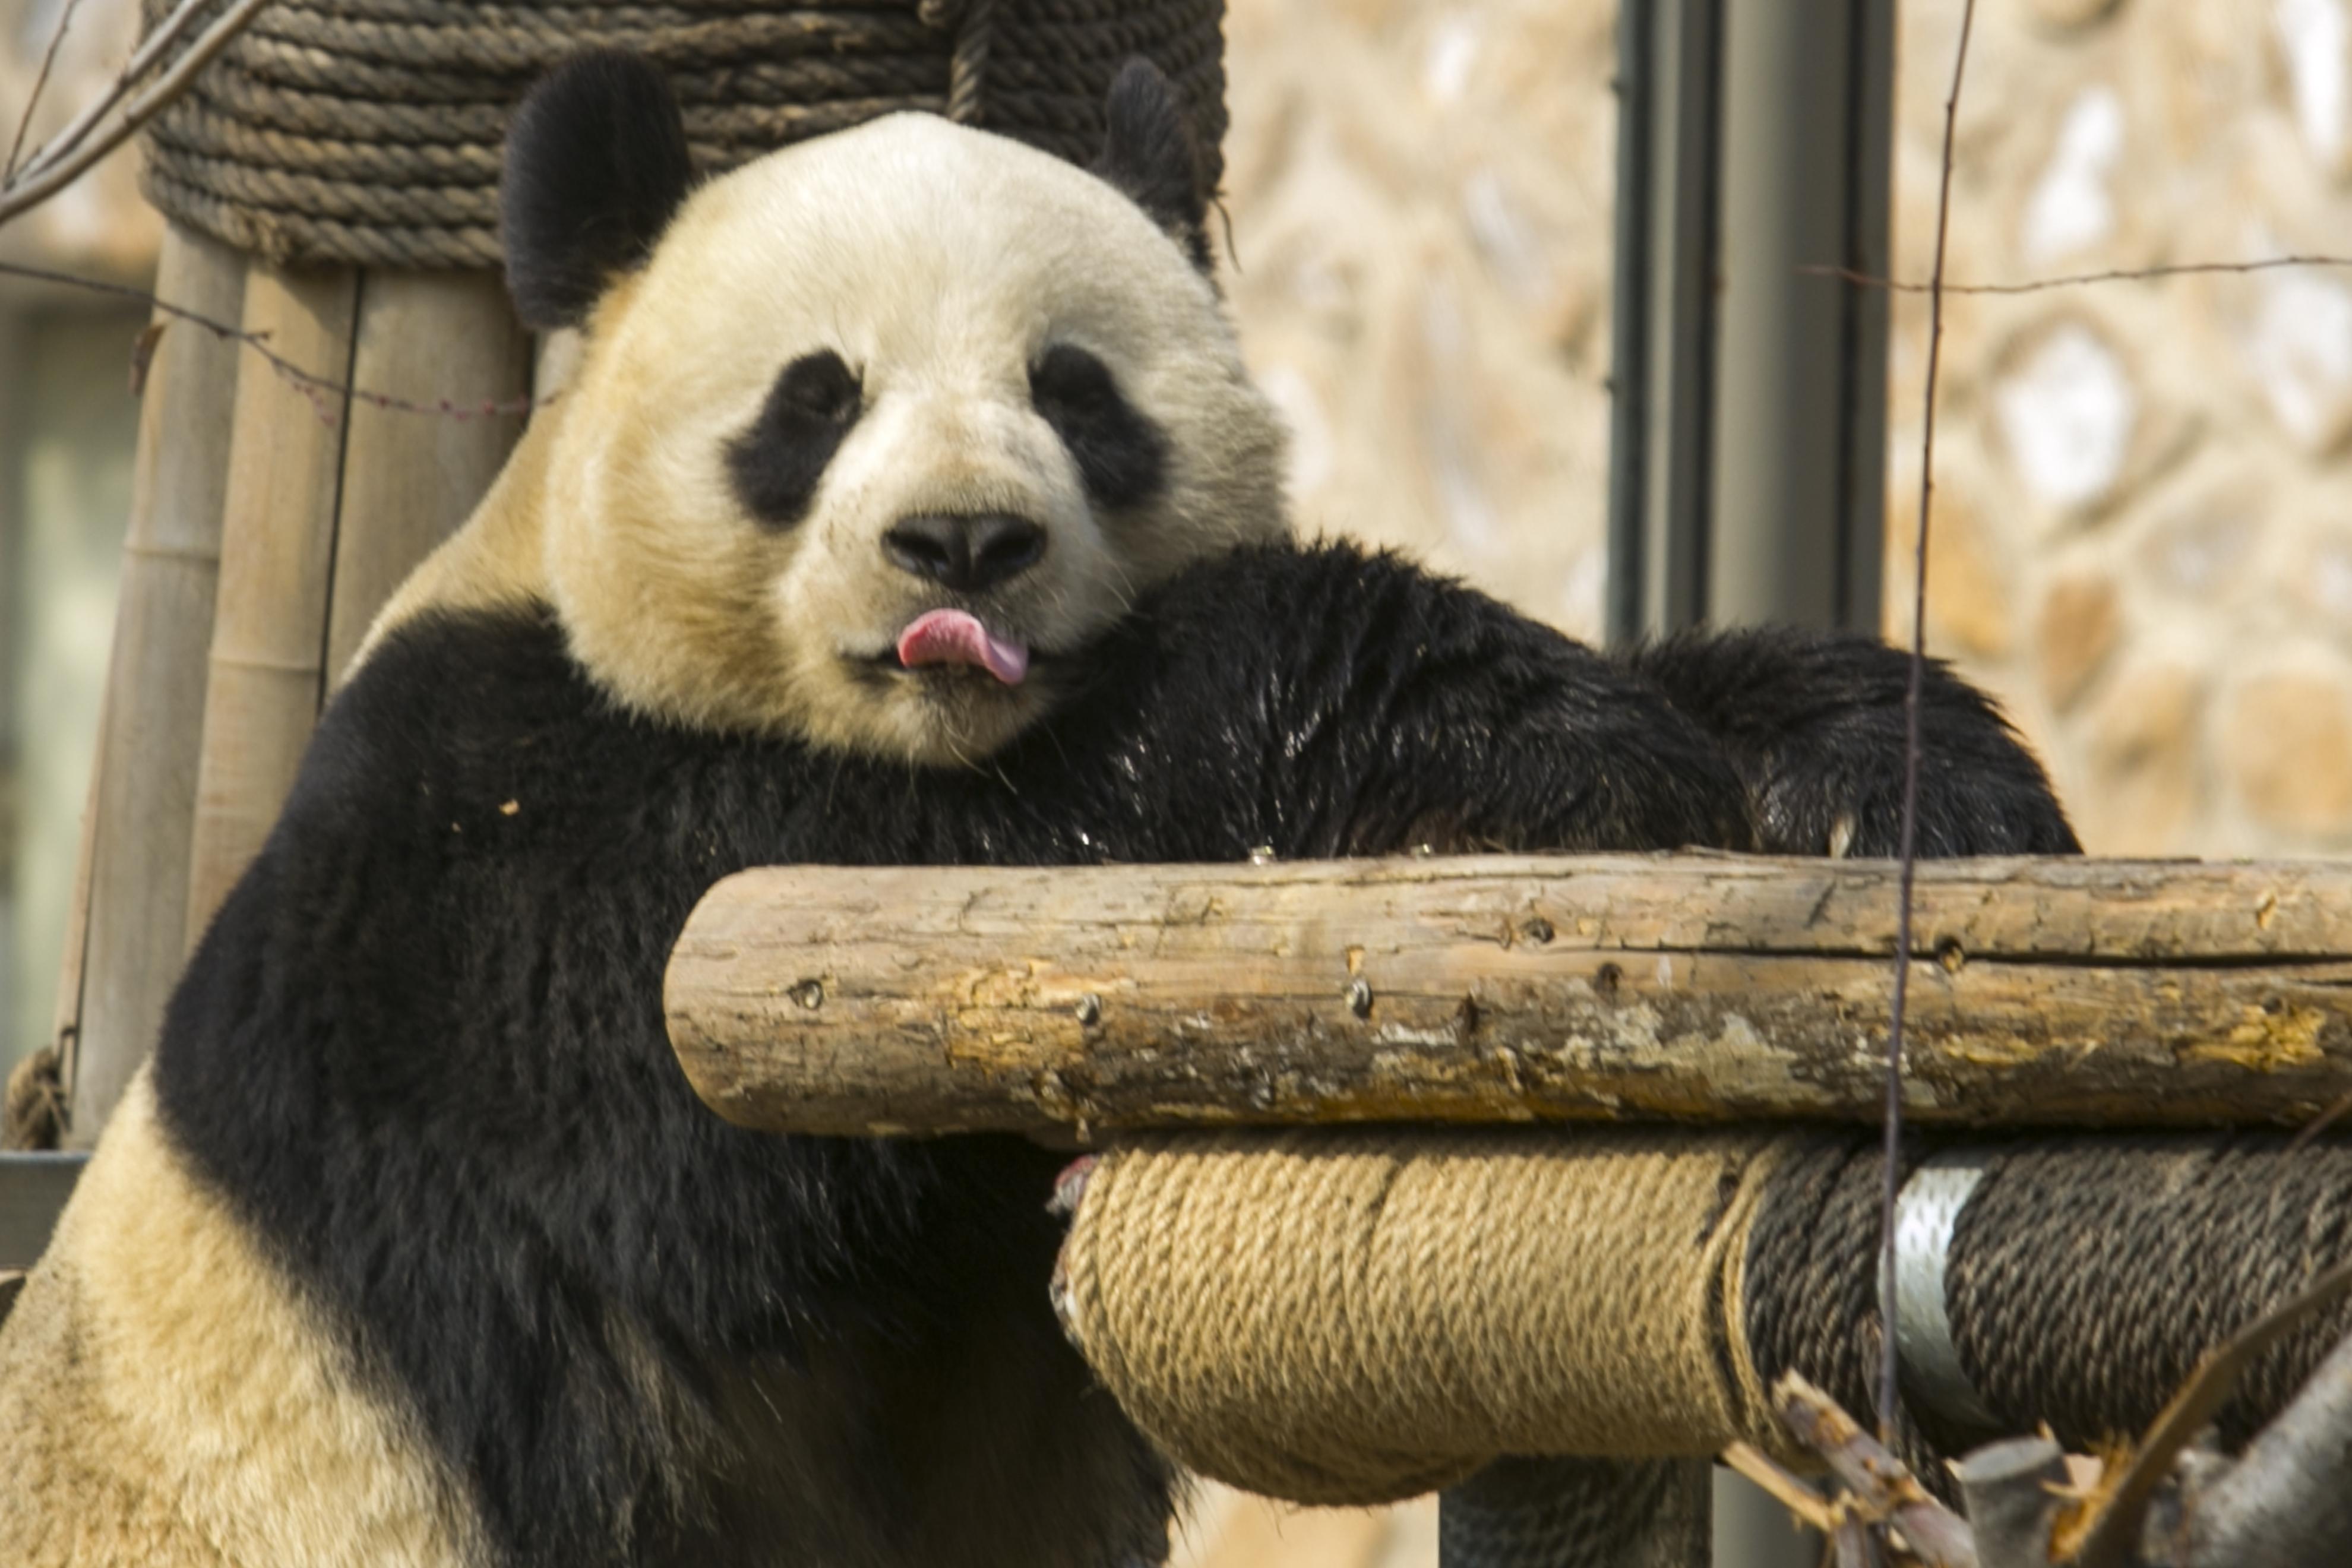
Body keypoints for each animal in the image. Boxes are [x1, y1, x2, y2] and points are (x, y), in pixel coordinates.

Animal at [0, 49, 2076, 1568]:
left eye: (1075, 390)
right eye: (813, 399)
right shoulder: (484, 877)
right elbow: (847, 944)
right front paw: (1542, 725)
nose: (963, 548)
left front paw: (1868, 768)